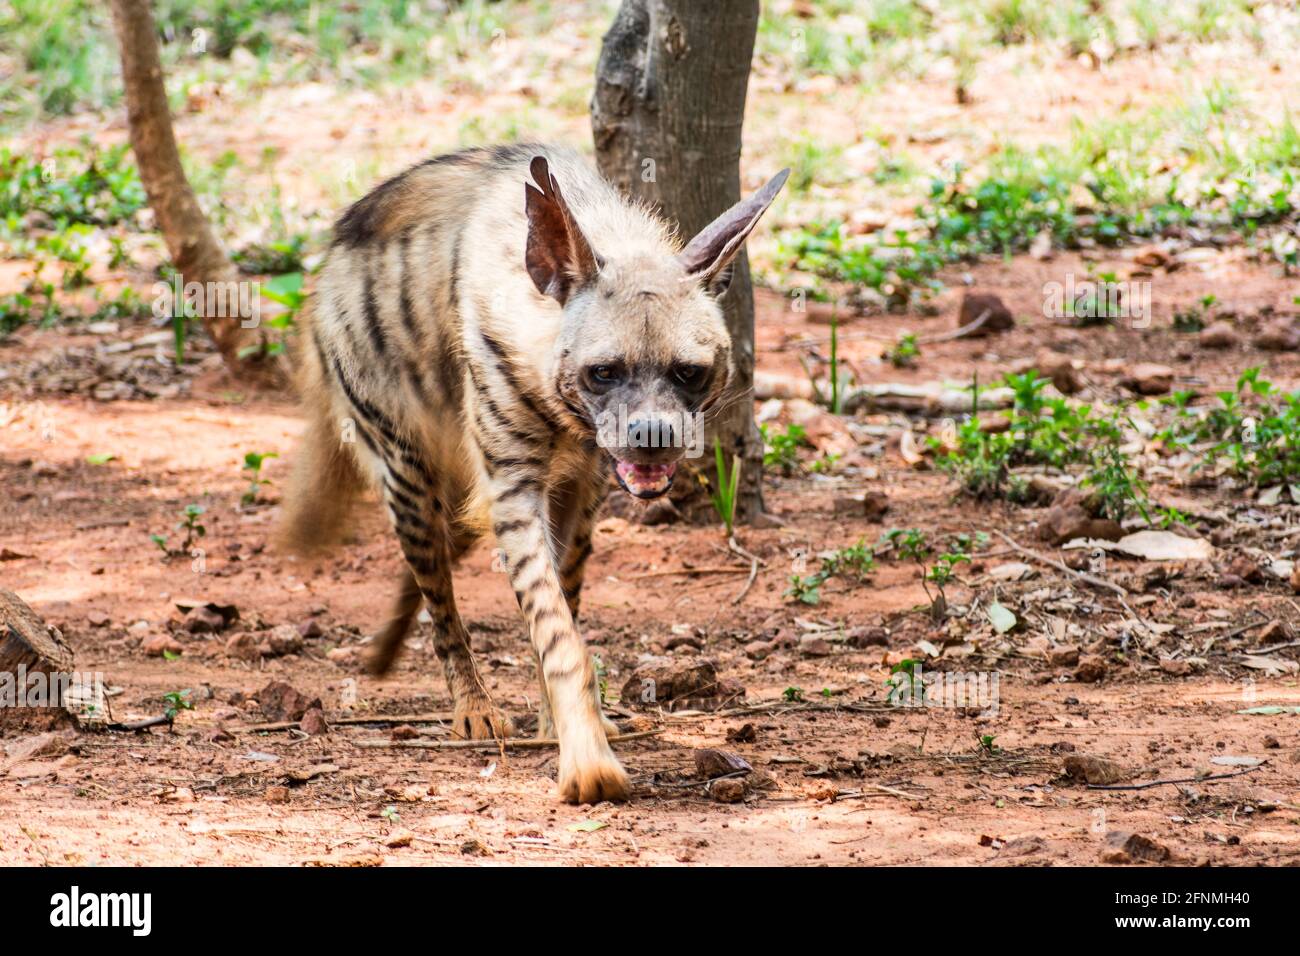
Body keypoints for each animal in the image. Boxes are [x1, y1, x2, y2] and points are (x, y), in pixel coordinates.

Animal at [280, 143, 787, 803]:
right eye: (604, 371)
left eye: (689, 372)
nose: (652, 437)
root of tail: (332, 258)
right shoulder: (514, 488)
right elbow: (555, 627)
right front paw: (588, 764)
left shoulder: (583, 488)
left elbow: (564, 604)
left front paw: (559, 723)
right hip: (408, 474)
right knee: (438, 591)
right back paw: (472, 708)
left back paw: (388, 650)